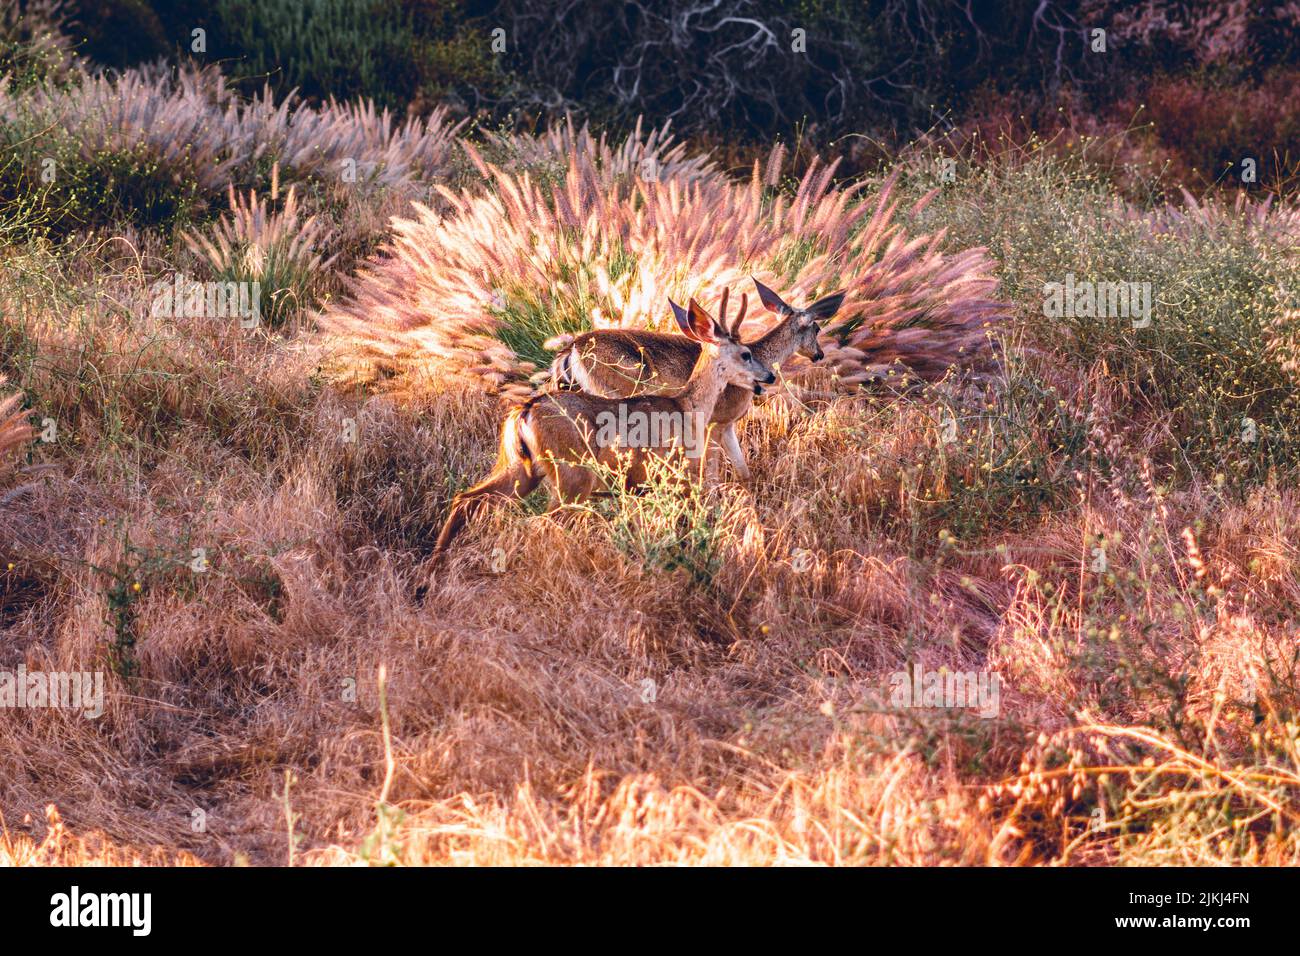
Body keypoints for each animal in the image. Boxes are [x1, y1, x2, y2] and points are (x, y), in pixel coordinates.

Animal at [433, 293, 776, 555]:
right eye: (746, 354)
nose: (769, 376)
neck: (689, 408)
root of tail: (524, 411)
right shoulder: (681, 474)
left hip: (519, 468)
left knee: (467, 499)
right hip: (572, 476)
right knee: (541, 522)